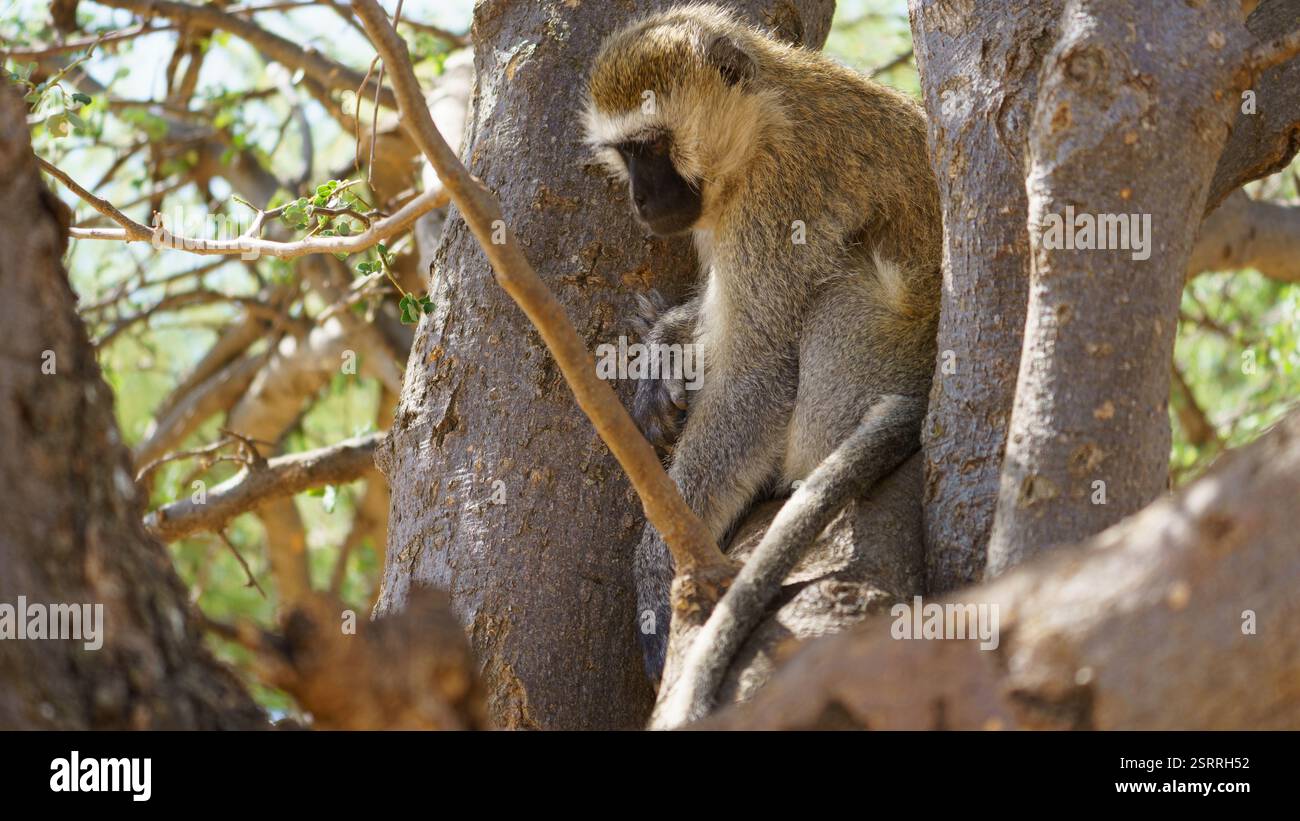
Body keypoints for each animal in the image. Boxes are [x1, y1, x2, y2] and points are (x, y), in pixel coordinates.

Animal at [584, 3, 942, 720]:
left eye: (653, 146)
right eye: (623, 154)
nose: (640, 199)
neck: (763, 122)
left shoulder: (778, 201)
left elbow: (759, 377)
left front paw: (656, 572)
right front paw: (665, 342)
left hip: (887, 343)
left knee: (841, 292)